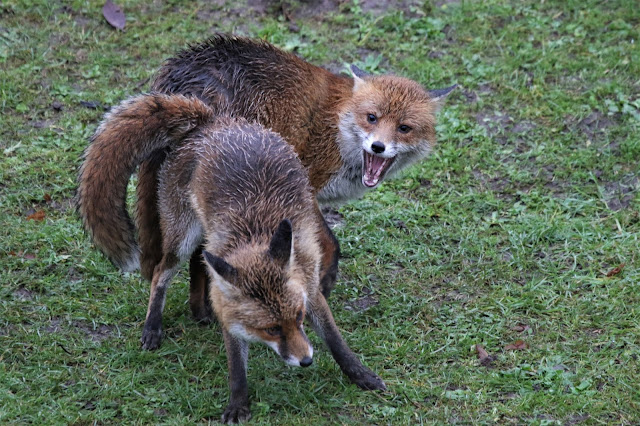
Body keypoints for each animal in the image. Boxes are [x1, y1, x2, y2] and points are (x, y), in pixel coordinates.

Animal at [77, 93, 385, 423]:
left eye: (299, 318)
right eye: (272, 329)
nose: (306, 361)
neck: (256, 232)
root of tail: (216, 121)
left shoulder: (310, 290)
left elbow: (336, 342)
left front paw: (361, 375)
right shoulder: (230, 308)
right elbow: (237, 368)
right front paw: (238, 404)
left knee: (196, 262)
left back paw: (198, 311)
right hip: (182, 237)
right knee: (161, 273)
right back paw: (153, 327)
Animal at [138, 34, 455, 316]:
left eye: (404, 128)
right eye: (372, 118)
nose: (378, 146)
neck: (337, 128)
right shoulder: (305, 182)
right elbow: (330, 242)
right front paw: (323, 283)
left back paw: (201, 311)